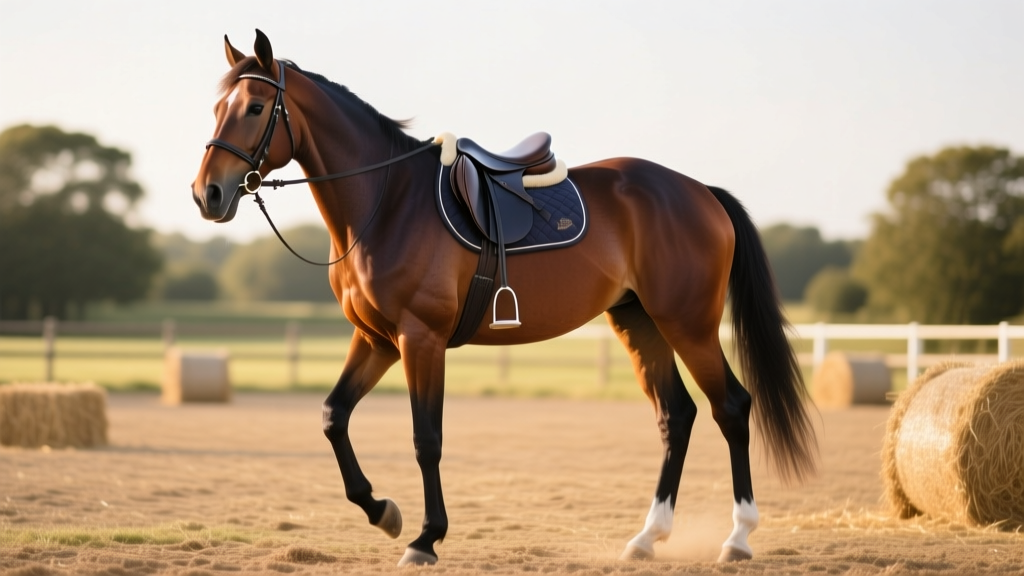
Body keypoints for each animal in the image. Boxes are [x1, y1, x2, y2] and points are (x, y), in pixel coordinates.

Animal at [191, 29, 817, 567]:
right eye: (217, 108)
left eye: (254, 109)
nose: (207, 194)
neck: (388, 203)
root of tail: (698, 191)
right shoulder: (376, 340)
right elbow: (332, 416)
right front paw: (383, 511)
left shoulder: (419, 339)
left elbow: (426, 439)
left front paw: (425, 538)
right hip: (639, 323)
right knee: (676, 415)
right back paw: (647, 538)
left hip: (688, 324)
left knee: (730, 407)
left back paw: (738, 538)